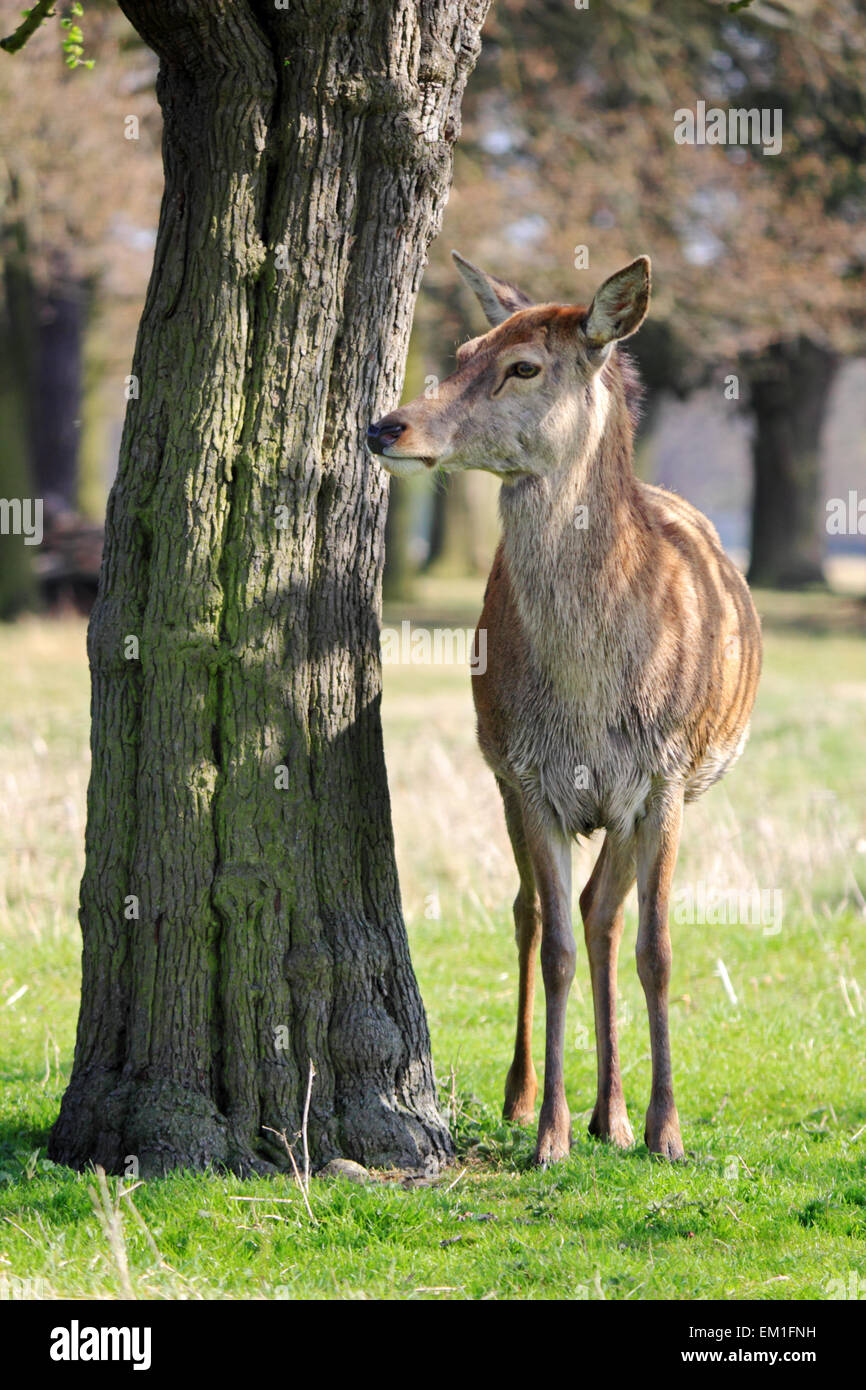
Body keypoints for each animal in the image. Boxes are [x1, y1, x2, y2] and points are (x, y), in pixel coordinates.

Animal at [367, 252, 762, 1166]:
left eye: (523, 367)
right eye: (464, 349)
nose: (386, 427)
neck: (591, 697)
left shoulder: (664, 777)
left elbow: (656, 947)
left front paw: (665, 1131)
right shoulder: (531, 774)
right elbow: (553, 948)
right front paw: (549, 1135)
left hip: (642, 799)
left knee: (603, 916)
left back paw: (612, 1114)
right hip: (504, 773)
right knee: (536, 913)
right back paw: (533, 1100)